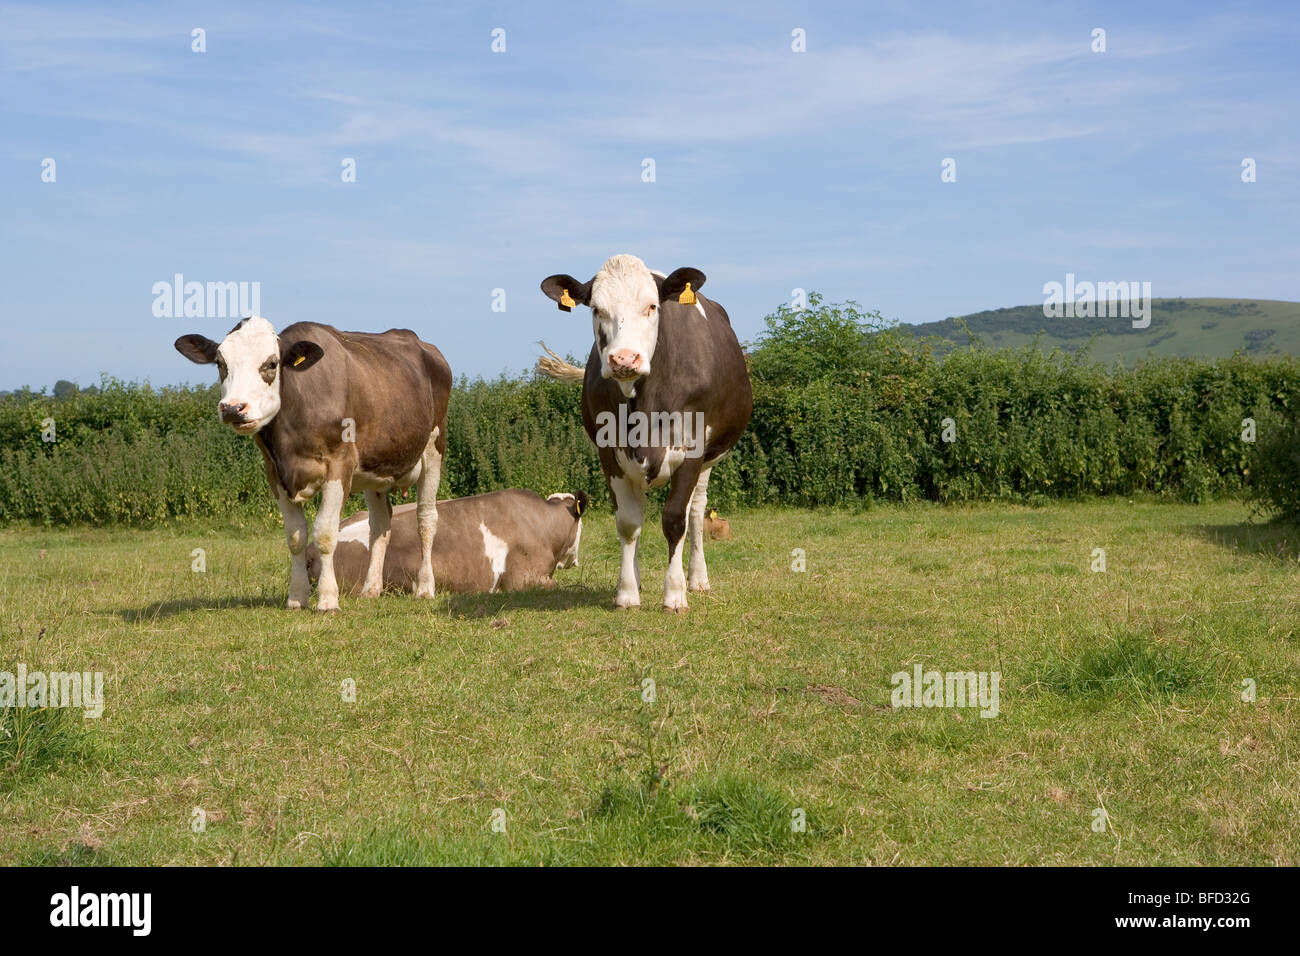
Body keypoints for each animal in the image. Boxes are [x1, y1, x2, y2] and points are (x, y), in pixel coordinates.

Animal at [174, 316, 451, 611]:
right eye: (220, 363)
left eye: (271, 364)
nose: (233, 408)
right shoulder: (274, 473)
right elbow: (295, 537)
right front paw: (297, 597)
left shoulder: (339, 464)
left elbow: (325, 534)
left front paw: (328, 598)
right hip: (376, 470)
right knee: (380, 524)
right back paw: (371, 589)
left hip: (434, 446)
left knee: (426, 519)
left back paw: (425, 587)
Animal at [537, 254, 752, 612]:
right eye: (596, 309)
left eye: (652, 306)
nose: (624, 358)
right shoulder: (609, 453)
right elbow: (628, 522)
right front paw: (626, 592)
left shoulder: (692, 451)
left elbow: (675, 520)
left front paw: (675, 594)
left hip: (709, 460)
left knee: (696, 511)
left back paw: (697, 578)